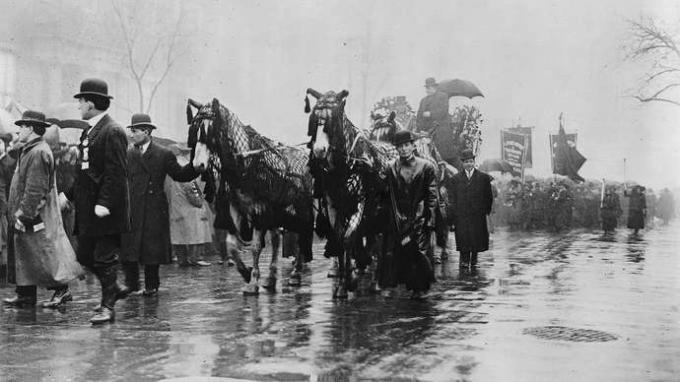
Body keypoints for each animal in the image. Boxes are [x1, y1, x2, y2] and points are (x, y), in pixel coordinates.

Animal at [186, 97, 314, 292]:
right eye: (194, 131)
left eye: (211, 131)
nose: (197, 165)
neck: (245, 165)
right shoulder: (236, 209)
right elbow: (231, 245)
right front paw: (246, 273)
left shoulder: (260, 210)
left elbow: (255, 247)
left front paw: (253, 281)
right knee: (277, 239)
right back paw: (272, 277)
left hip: (301, 209)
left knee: (303, 235)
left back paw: (296, 273)